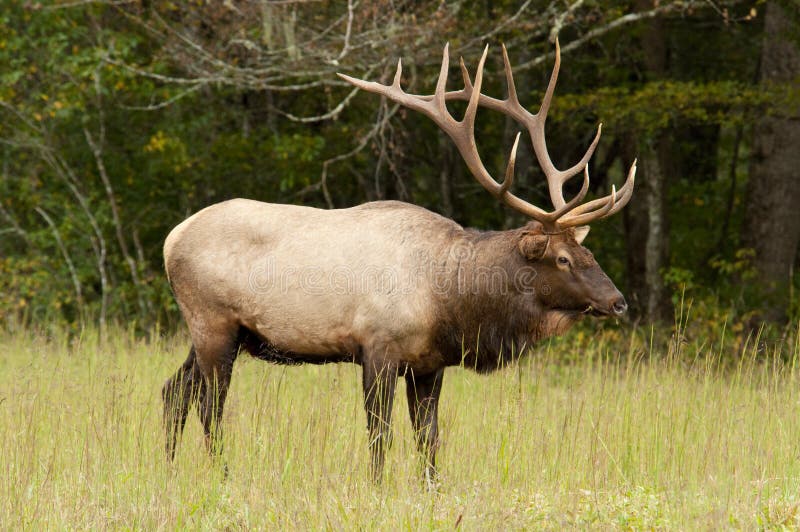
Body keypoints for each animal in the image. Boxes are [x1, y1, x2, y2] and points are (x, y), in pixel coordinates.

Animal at [161, 40, 635, 484]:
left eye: (588, 253)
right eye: (562, 259)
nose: (618, 301)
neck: (450, 301)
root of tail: (170, 240)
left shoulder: (429, 364)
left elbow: (429, 438)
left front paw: (432, 491)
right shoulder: (377, 347)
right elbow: (379, 435)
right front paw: (377, 489)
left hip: (221, 333)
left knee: (173, 391)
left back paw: (170, 469)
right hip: (213, 322)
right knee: (209, 406)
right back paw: (222, 476)